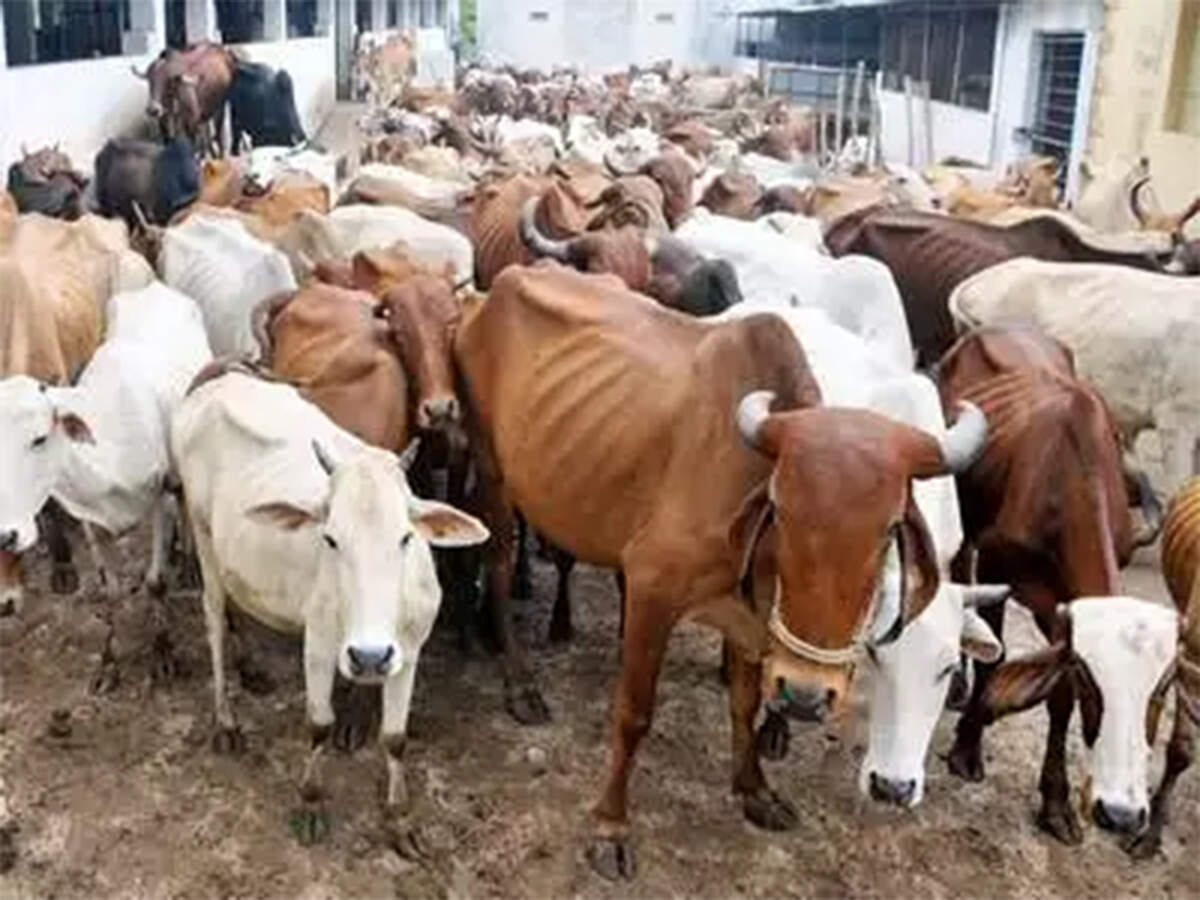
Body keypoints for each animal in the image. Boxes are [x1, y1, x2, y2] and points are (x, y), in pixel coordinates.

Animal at [0, 282, 211, 690]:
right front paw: (109, 664)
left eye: (39, 438)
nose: (5, 535)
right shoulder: (91, 523)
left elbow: (156, 581)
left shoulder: (159, 500)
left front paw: (163, 655)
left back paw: (190, 561)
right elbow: (110, 591)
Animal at [170, 370, 488, 844]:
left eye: (406, 537)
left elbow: (395, 736)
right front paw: (311, 801)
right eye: (331, 538)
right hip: (202, 534)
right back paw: (225, 720)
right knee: (213, 620)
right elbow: (318, 724)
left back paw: (251, 669)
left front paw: (400, 817)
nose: (370, 657)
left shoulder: (410, 650)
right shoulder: (318, 644)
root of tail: (219, 381)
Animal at [454, 261, 989, 878]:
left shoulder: (752, 621)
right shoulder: (652, 588)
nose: (808, 697)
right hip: (492, 471)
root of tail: (501, 283)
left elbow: (745, 702)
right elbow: (634, 714)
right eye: (781, 507)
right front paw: (611, 827)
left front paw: (754, 789)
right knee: (495, 568)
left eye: (888, 529)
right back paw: (519, 683)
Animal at [936, 326, 1162, 844]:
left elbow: (1058, 695)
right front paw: (967, 746)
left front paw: (1056, 803)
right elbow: (996, 655)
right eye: (1100, 690)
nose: (1122, 816)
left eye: (1156, 700)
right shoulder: (997, 564)